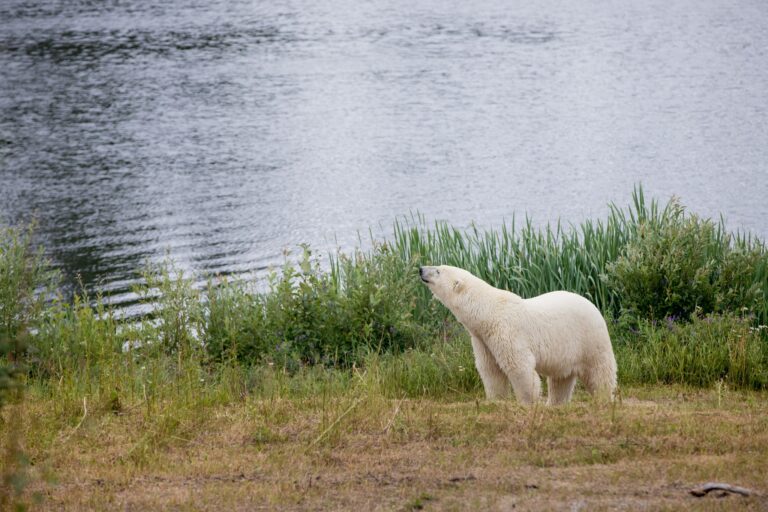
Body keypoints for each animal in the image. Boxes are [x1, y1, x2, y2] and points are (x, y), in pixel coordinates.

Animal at [419, 265, 617, 405]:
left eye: (438, 270)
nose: (421, 269)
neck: (487, 312)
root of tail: (593, 306)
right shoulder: (482, 339)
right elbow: (490, 369)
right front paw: (495, 400)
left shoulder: (506, 331)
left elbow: (518, 366)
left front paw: (527, 401)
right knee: (561, 378)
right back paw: (554, 404)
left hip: (589, 338)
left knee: (599, 371)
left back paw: (604, 398)